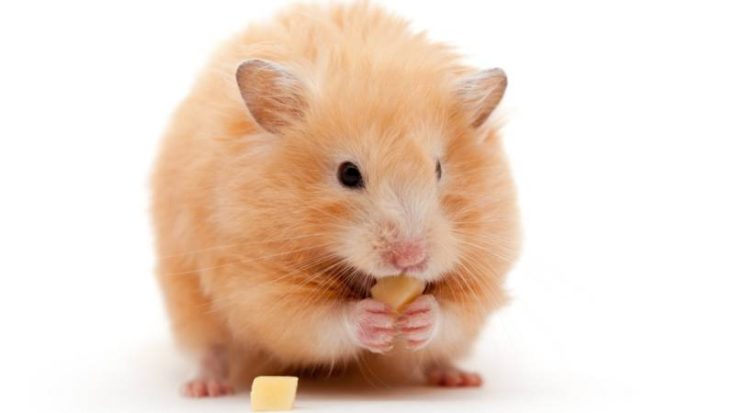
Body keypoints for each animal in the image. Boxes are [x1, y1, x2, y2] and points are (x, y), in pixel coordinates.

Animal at [152, 1, 520, 397]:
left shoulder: (485, 265)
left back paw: (460, 378)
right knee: (212, 348)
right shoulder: (256, 283)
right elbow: (316, 322)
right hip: (188, 300)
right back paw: (204, 387)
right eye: (348, 174)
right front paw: (371, 319)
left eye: (438, 170)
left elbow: (453, 315)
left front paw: (421, 316)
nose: (411, 259)